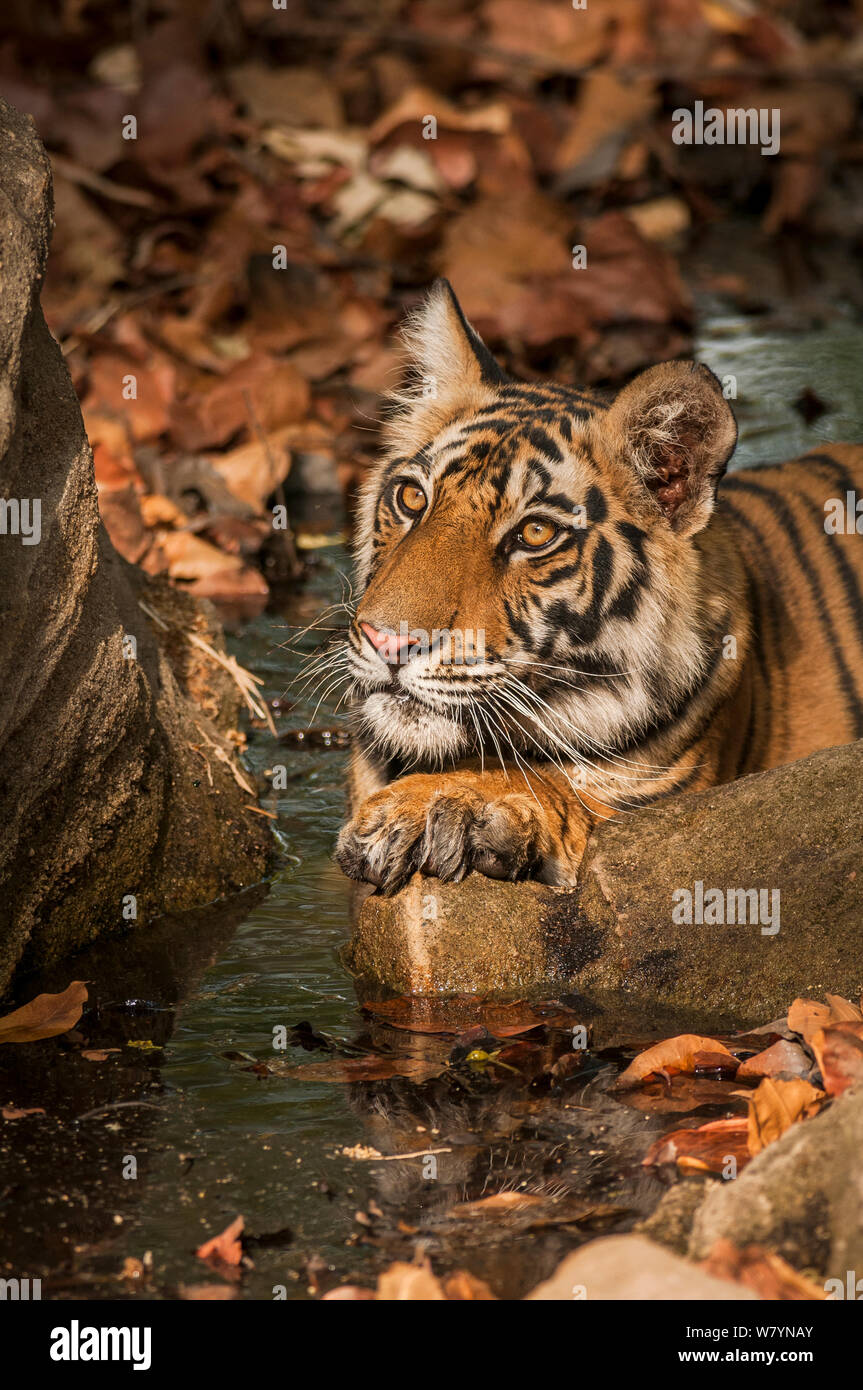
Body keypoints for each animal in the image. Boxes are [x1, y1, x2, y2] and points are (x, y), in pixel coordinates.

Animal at [333, 279, 863, 896]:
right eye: (412, 498)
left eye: (535, 533)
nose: (388, 642)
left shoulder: (669, 795)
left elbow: (548, 778)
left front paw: (436, 805)